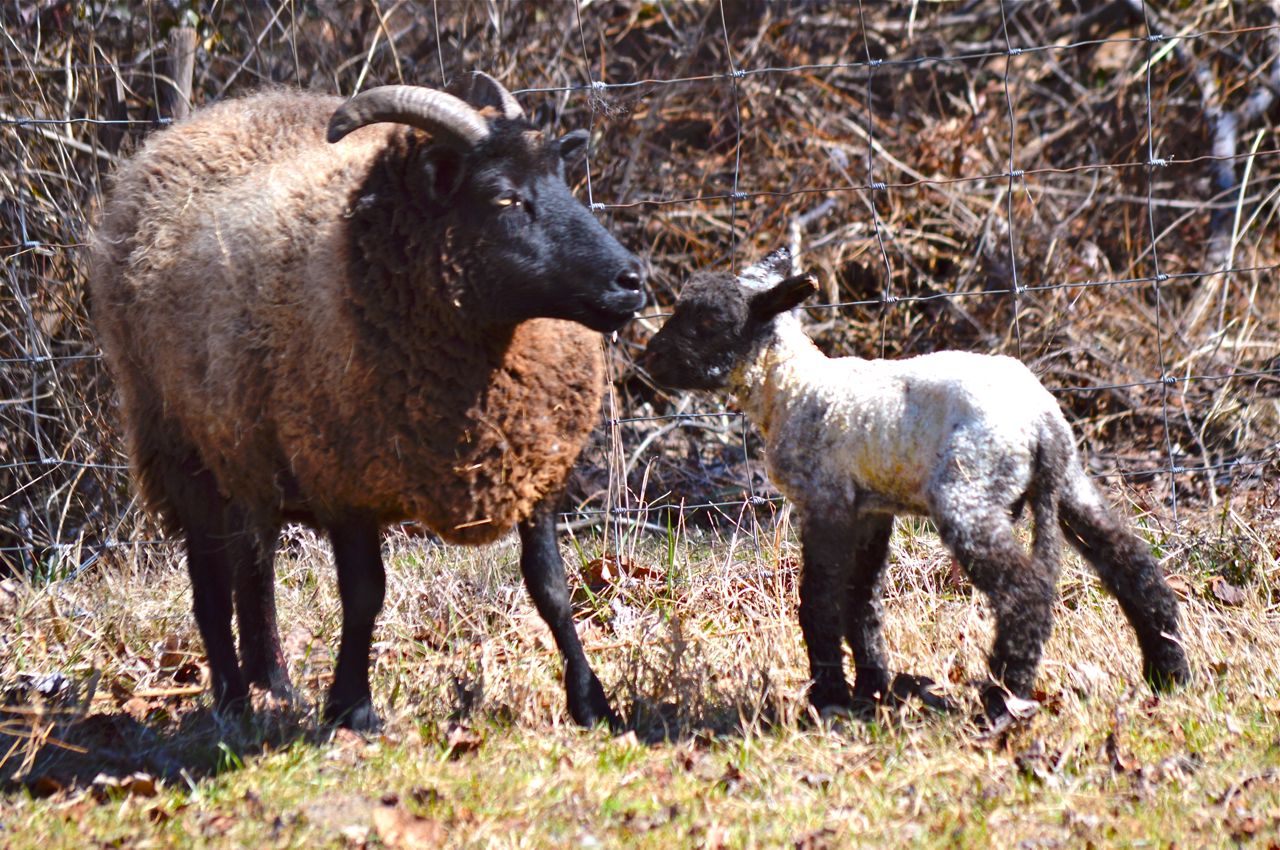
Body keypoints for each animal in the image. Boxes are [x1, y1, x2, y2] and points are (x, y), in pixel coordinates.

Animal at [89, 72, 646, 731]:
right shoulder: (343, 478)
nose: (631, 279)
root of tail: (181, 132)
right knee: (210, 580)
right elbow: (363, 595)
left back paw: (276, 687)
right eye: (504, 198)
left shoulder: (533, 469)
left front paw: (590, 700)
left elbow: (551, 589)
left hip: (247, 450)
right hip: (181, 447)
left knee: (255, 570)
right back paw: (232, 698)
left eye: (563, 178)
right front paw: (352, 707)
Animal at [642, 248, 1190, 724]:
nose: (650, 359)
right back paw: (1169, 672)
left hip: (968, 490)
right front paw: (872, 691)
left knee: (1026, 590)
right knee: (1130, 560)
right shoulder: (869, 508)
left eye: (708, 322)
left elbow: (820, 602)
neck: (793, 388)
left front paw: (830, 700)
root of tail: (1040, 420)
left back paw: (1004, 697)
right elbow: (861, 601)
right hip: (1071, 483)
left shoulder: (826, 499)